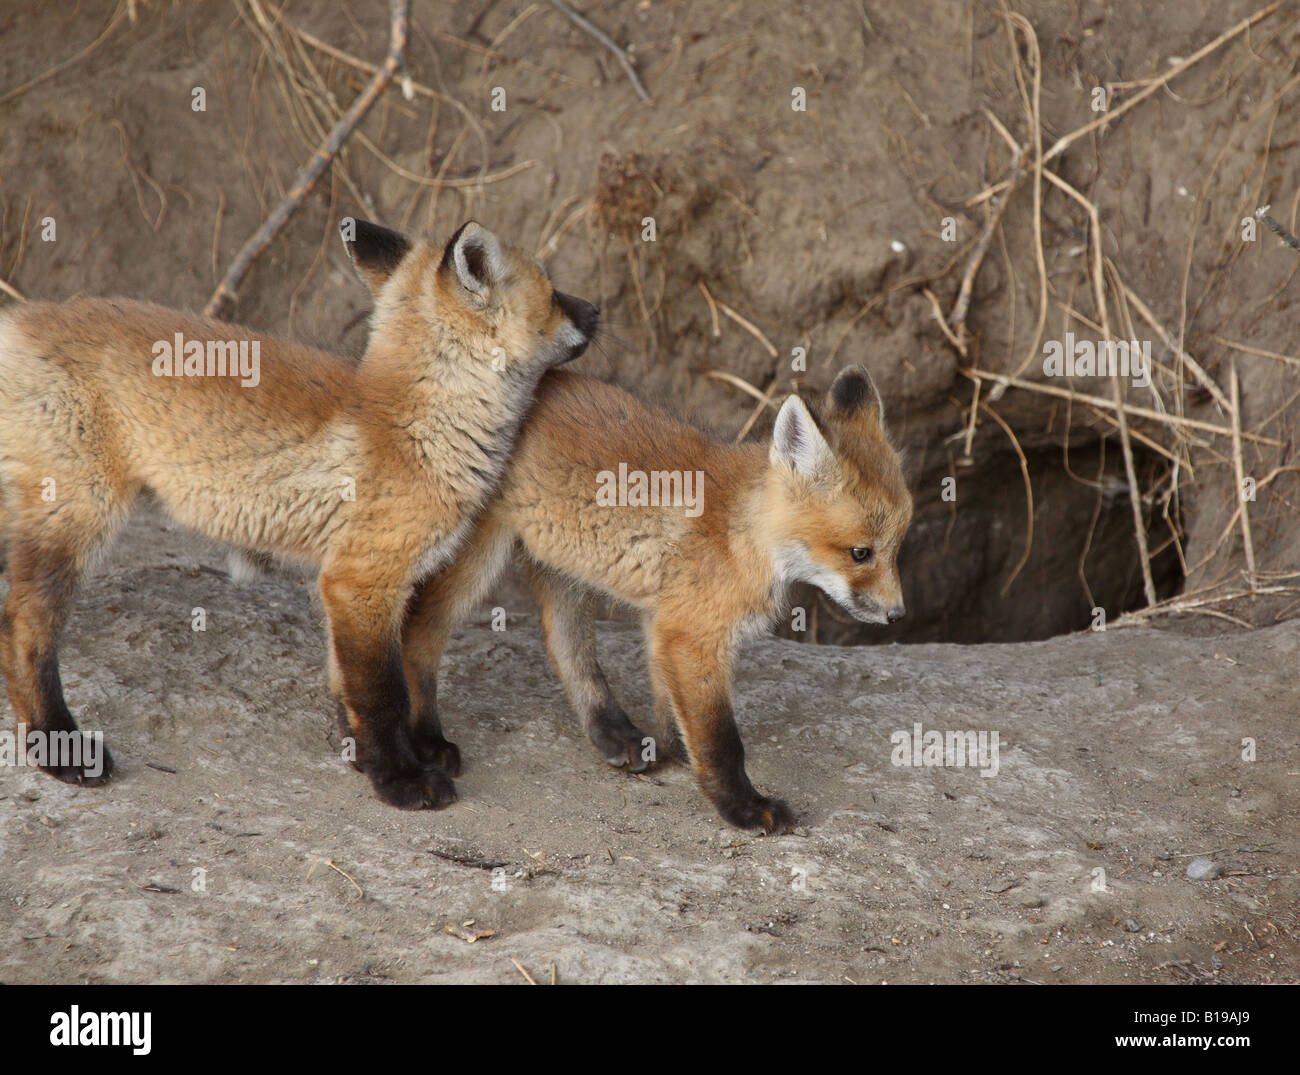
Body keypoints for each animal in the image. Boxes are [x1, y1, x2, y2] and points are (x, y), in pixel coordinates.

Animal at [0, 218, 598, 809]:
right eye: (553, 291)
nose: (597, 310)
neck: (420, 428)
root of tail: (25, 315)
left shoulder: (341, 581)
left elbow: (345, 686)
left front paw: (362, 757)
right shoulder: (363, 581)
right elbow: (382, 693)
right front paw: (400, 778)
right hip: (80, 515)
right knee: (22, 624)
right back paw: (57, 745)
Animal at [398, 362, 913, 834]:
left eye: (896, 549)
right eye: (860, 553)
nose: (897, 614)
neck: (741, 534)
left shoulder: (664, 619)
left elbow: (671, 702)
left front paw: (674, 750)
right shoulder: (691, 635)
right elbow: (722, 740)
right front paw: (742, 807)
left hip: (565, 564)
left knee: (563, 644)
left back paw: (610, 732)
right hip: (479, 559)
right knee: (417, 634)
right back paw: (424, 741)